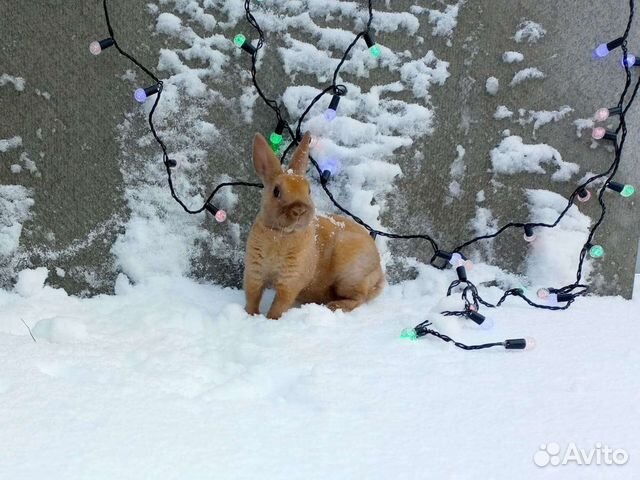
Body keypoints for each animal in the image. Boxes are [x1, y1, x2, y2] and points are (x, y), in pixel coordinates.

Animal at [244, 132, 384, 319]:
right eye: (276, 191)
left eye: (308, 191)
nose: (299, 210)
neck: (281, 234)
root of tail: (378, 273)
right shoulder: (254, 273)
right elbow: (253, 297)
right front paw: (250, 316)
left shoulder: (290, 282)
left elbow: (279, 305)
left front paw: (270, 320)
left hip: (350, 277)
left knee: (359, 297)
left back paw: (335, 306)